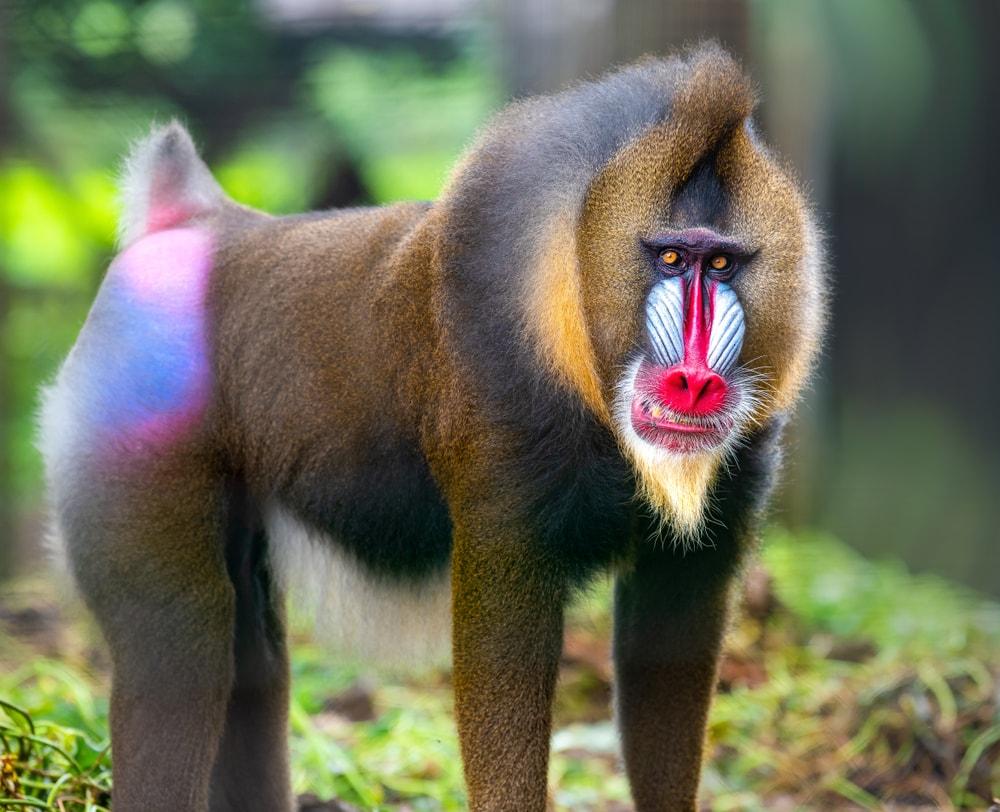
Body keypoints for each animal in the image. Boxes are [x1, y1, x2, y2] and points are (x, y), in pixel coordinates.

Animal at [38, 43, 825, 812]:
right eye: (668, 257)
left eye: (720, 263)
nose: (693, 380)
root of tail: (190, 223)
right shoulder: (504, 504)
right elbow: (498, 662)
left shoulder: (708, 536)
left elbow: (667, 657)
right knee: (181, 644)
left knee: (251, 658)